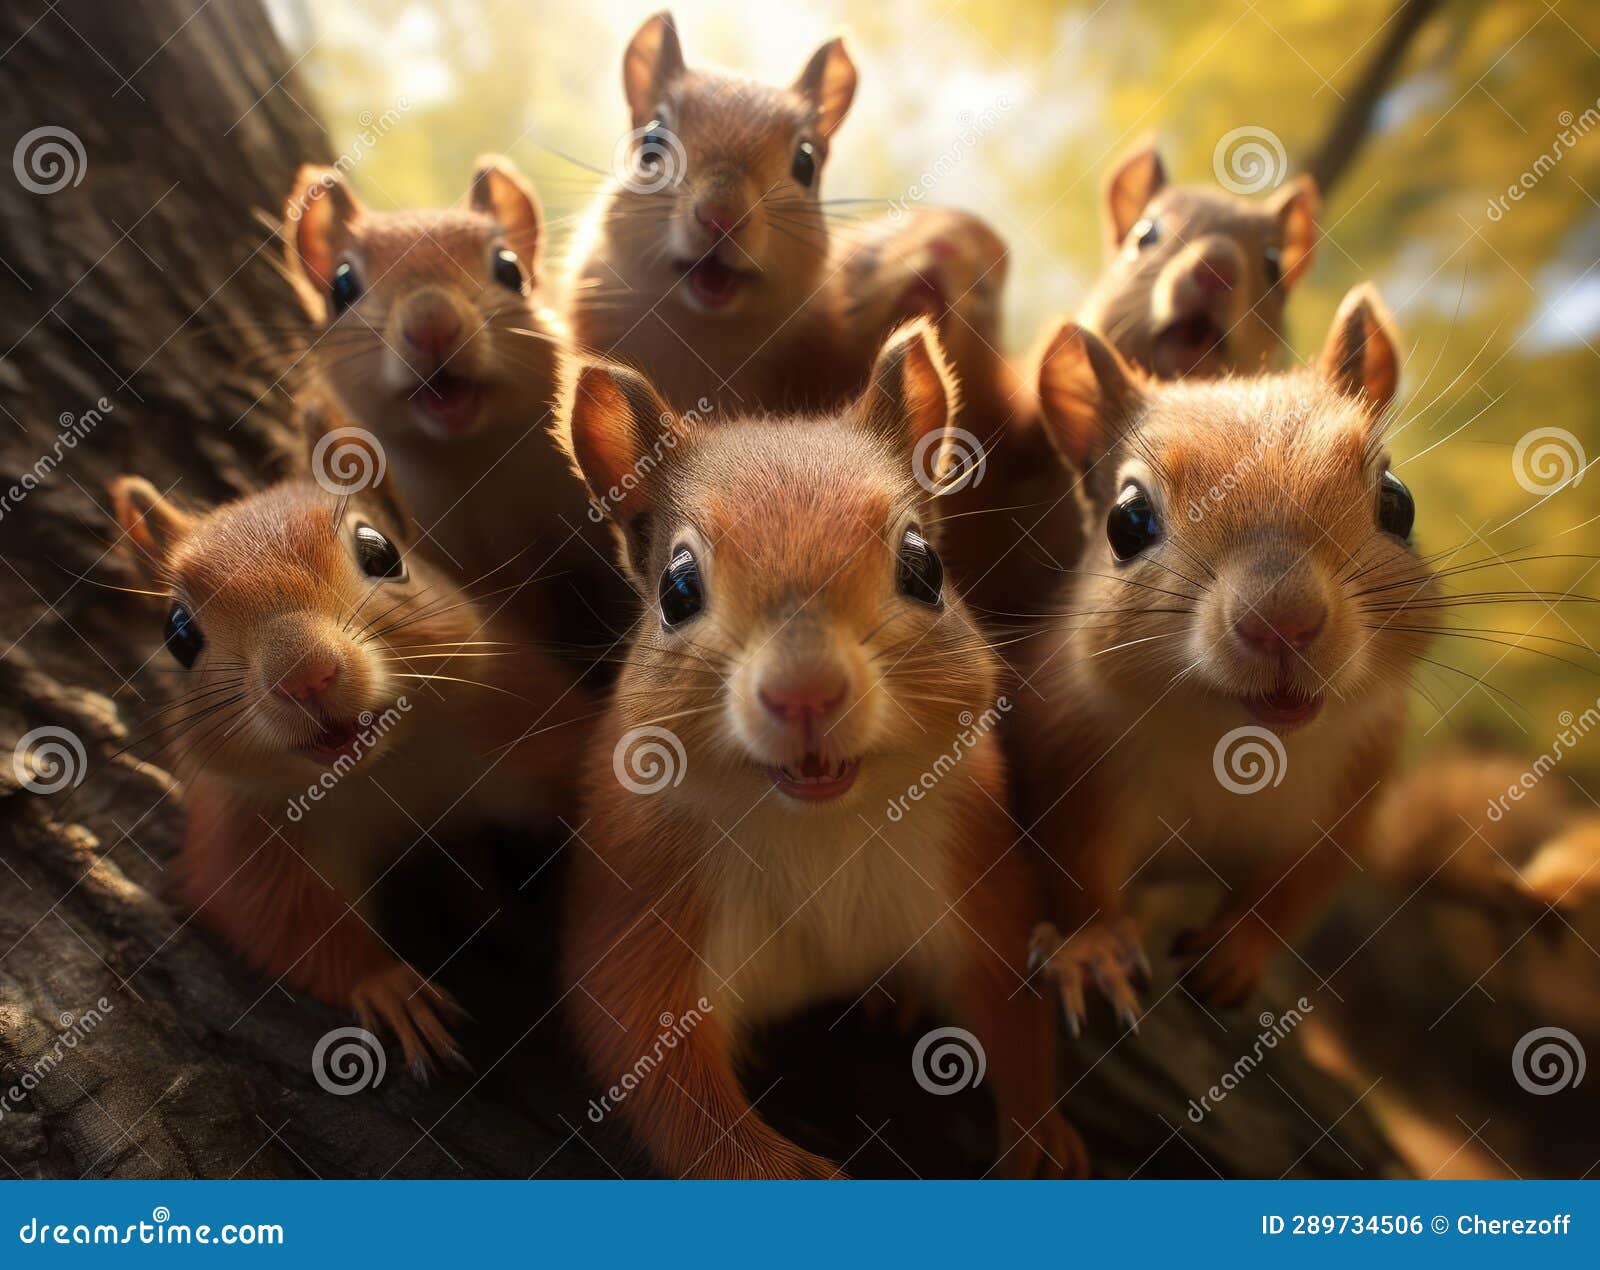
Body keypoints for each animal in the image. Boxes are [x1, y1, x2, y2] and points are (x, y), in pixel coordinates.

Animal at [107, 441, 592, 1076]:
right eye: (177, 633)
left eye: (381, 553)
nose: (303, 674)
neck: (383, 769)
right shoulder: (253, 840)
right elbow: (286, 925)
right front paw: (392, 990)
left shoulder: (524, 720)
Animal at [556, 319, 1086, 1179]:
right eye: (676, 592)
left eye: (924, 567)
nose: (805, 694)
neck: (817, 826)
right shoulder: (646, 901)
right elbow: (656, 1066)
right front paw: (789, 1171)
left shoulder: (973, 870)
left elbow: (1012, 1000)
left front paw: (1040, 1144)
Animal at [1016, 283, 1426, 1026]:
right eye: (1127, 523)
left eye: (1397, 503)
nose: (1284, 619)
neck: (1238, 747)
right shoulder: (1066, 752)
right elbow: (1074, 872)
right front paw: (1091, 949)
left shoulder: (1349, 796)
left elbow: (1292, 895)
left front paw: (1238, 954)